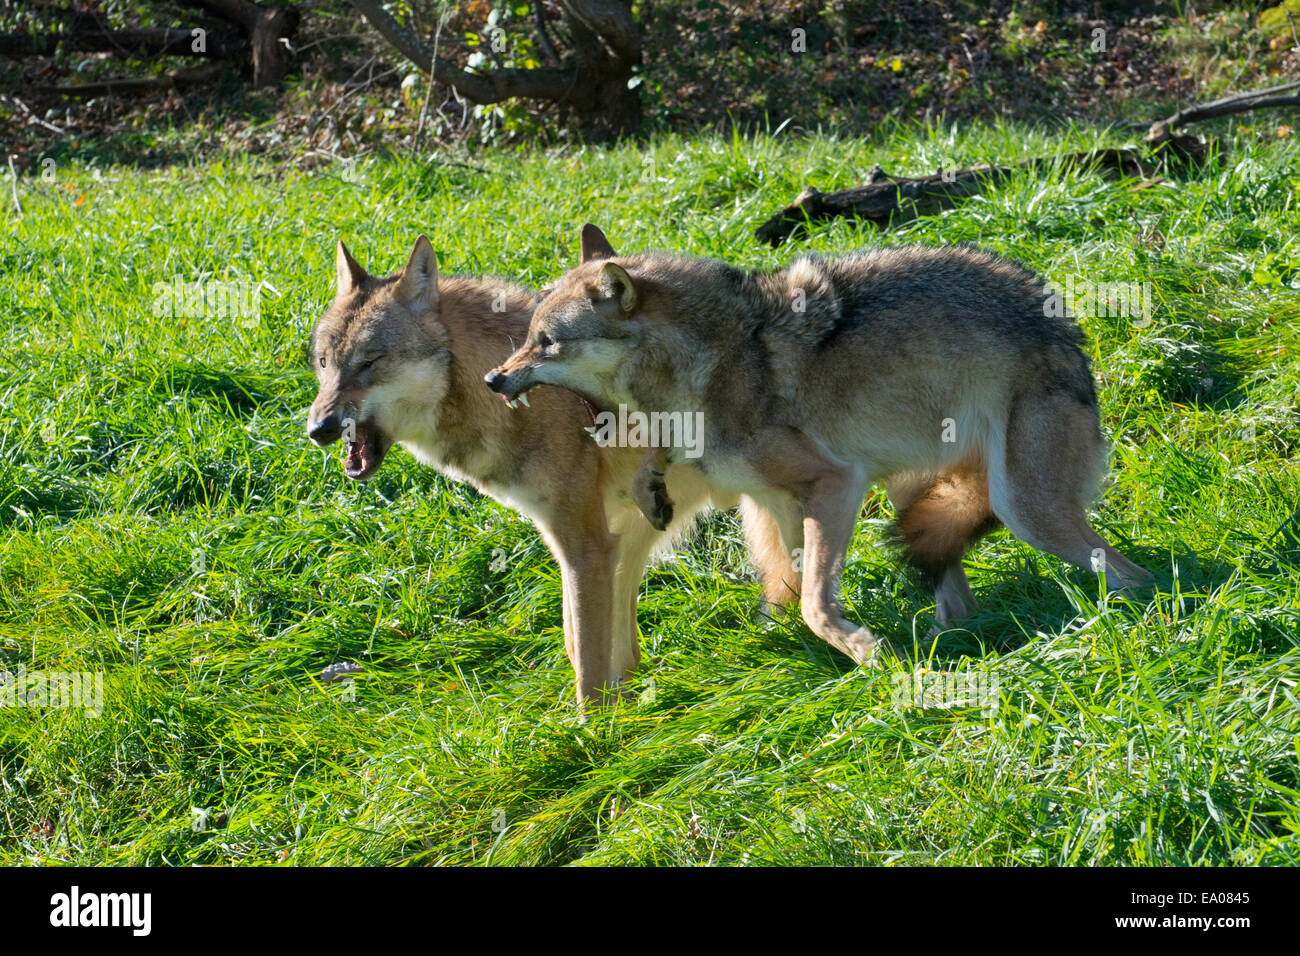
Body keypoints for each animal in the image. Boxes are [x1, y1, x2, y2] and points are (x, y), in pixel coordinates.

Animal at [306, 236, 799, 707]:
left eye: (370, 362)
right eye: (324, 363)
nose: (318, 429)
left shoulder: (587, 546)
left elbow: (589, 662)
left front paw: (592, 730)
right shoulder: (592, 539)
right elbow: (581, 644)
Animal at [486, 225, 1153, 666]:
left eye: (547, 342)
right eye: (527, 336)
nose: (493, 379)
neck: (704, 369)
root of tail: (1065, 327)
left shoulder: (835, 484)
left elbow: (812, 607)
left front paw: (866, 651)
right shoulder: (784, 502)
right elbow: (792, 585)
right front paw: (651, 488)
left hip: (1025, 511)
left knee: (1132, 574)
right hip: (919, 494)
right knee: (952, 586)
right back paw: (955, 639)